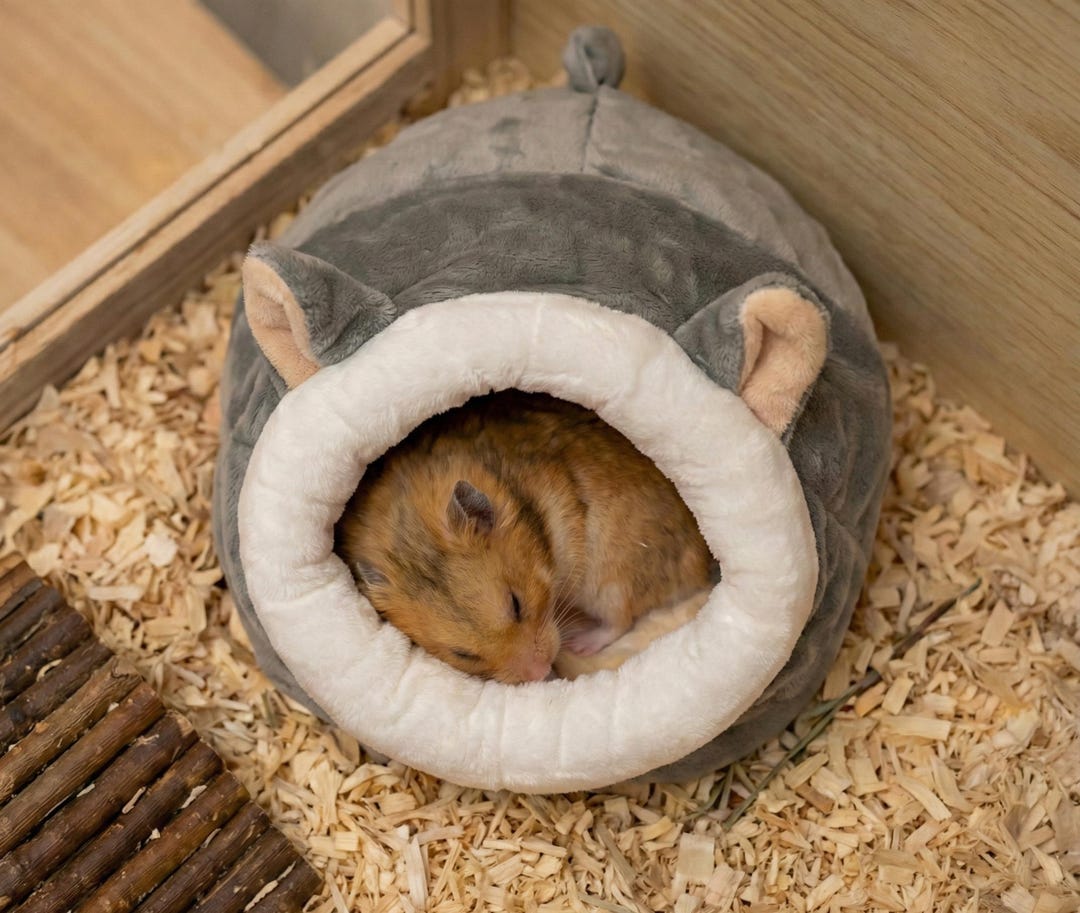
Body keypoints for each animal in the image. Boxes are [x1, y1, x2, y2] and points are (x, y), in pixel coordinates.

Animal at [334, 390, 713, 684]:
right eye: (462, 655)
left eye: (516, 605)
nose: (541, 672)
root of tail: (703, 565)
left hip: (615, 575)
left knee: (621, 619)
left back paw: (580, 642)